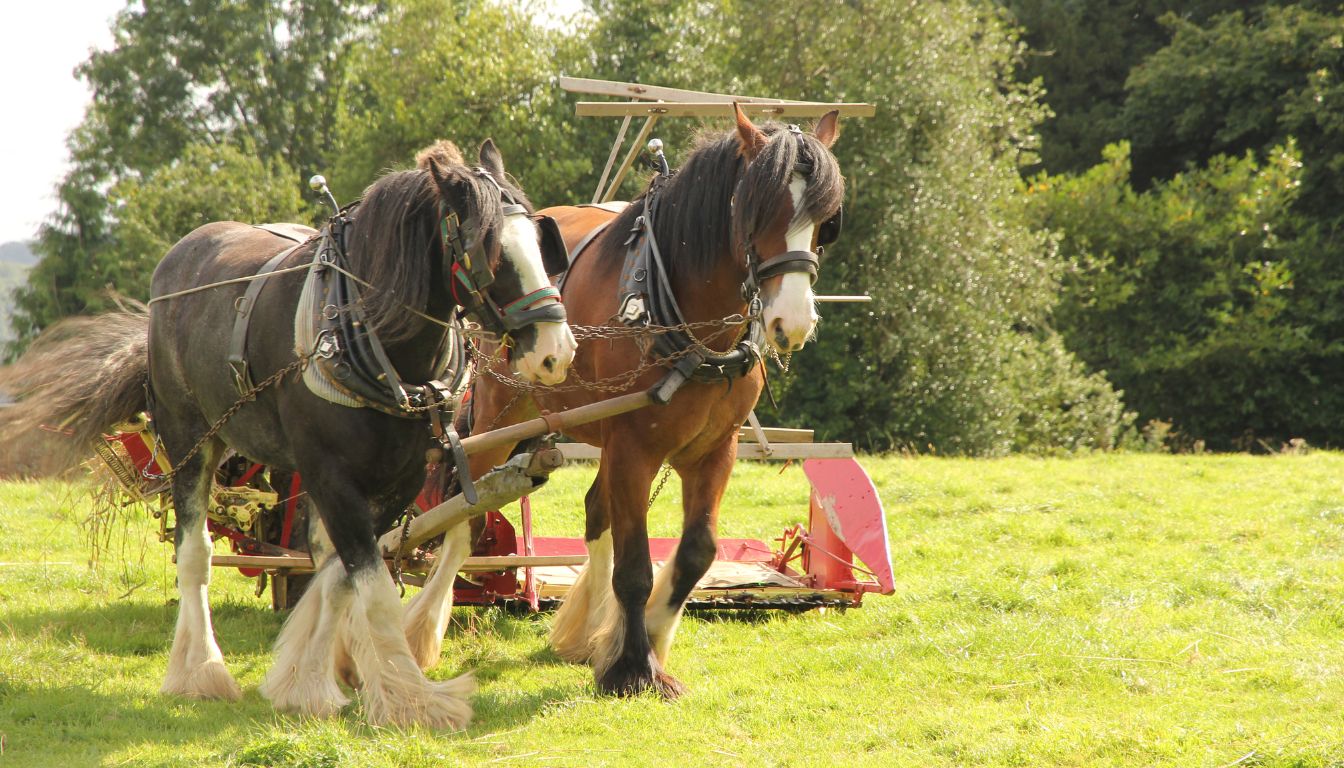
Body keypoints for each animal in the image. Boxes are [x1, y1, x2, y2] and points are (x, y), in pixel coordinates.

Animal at [0, 139, 577, 728]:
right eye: (490, 249)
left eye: (540, 242)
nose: (556, 352)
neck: (372, 336)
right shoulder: (331, 473)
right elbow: (371, 583)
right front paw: (412, 698)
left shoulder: (402, 477)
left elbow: (343, 573)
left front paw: (312, 678)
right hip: (189, 440)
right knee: (195, 554)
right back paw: (199, 671)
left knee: (314, 554)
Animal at [405, 106, 845, 697]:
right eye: (758, 211)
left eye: (826, 221)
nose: (792, 322)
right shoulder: (635, 446)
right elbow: (635, 565)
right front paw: (635, 666)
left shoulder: (715, 449)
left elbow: (696, 552)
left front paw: (649, 637)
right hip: (502, 415)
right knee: (465, 514)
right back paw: (423, 631)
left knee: (595, 511)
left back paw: (585, 630)